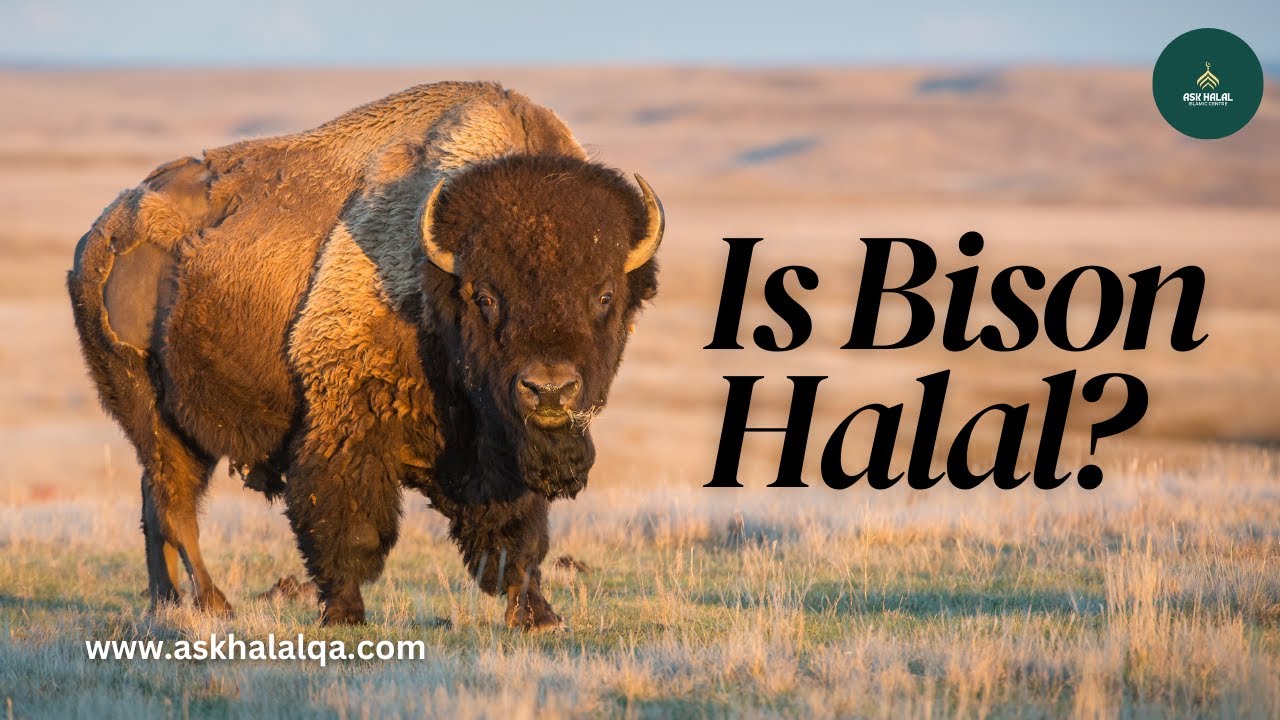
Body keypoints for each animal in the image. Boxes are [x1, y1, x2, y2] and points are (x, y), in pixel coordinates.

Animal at [67, 81, 662, 628]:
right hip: (151, 413)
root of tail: (100, 233)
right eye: (485, 296)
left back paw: (165, 603)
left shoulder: (501, 451)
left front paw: (538, 616)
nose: (549, 389)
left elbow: (518, 534)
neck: (434, 283)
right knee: (174, 505)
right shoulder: (347, 423)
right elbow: (348, 525)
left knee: (155, 506)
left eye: (605, 295)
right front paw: (344, 615)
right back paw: (215, 605)